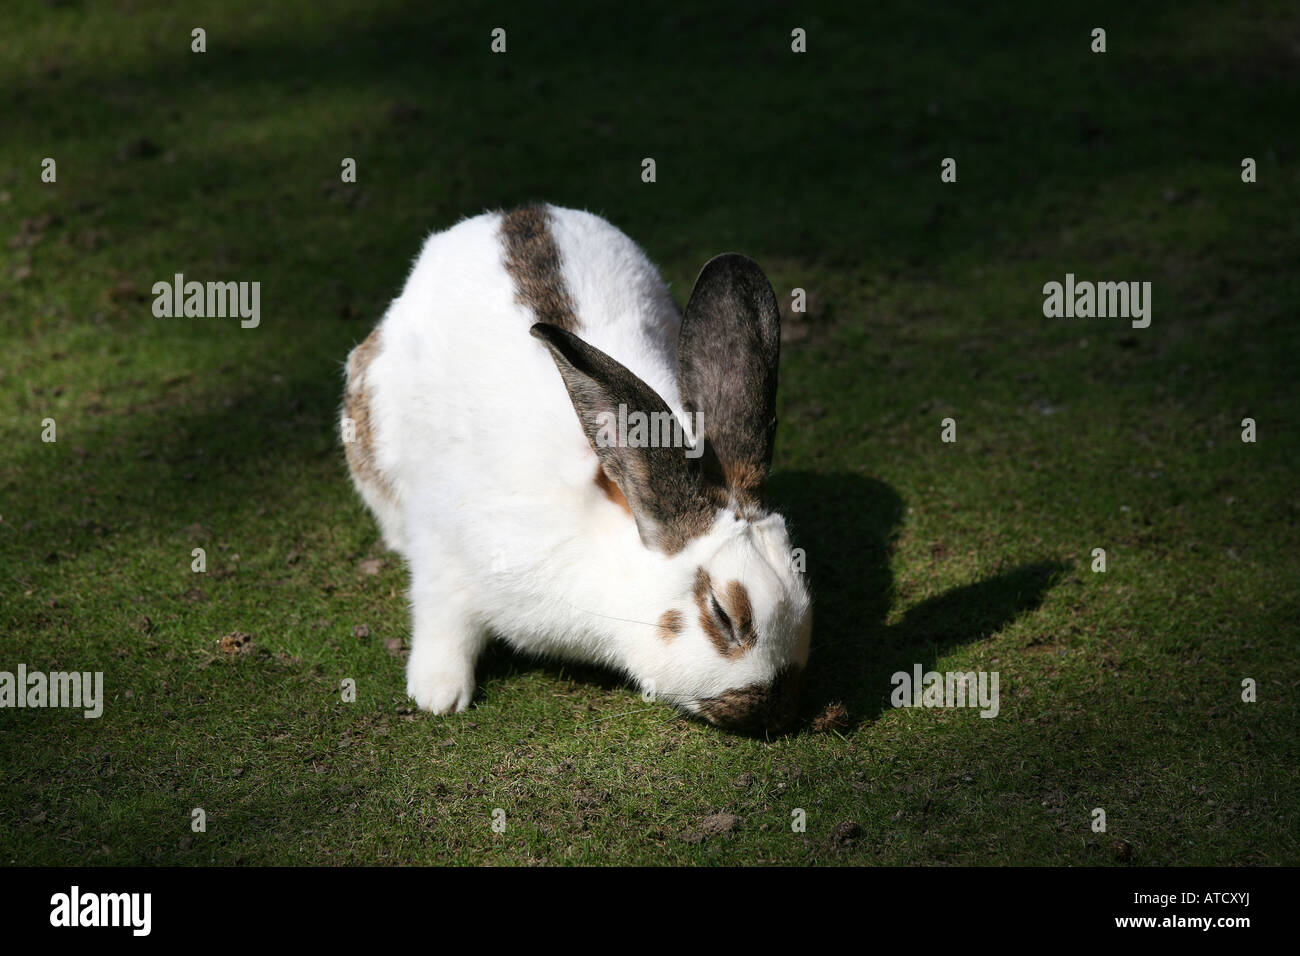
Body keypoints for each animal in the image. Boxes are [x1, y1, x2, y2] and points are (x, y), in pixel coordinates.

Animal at [341, 203, 811, 733]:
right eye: (723, 614)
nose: (775, 709)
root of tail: (509, 213)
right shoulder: (443, 551)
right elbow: (442, 616)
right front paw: (438, 694)